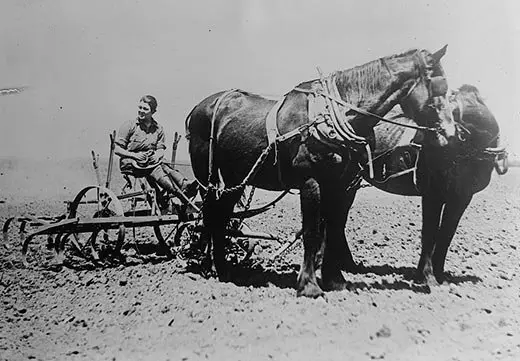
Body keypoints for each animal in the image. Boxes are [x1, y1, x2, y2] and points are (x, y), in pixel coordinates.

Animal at [187, 46, 456, 296]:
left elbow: (333, 229)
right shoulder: (311, 181)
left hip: (236, 177)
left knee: (221, 216)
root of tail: (199, 107)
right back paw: (210, 267)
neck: (333, 118)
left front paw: (335, 280)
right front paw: (309, 286)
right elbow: (313, 233)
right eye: (438, 88)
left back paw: (223, 270)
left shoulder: (342, 185)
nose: (450, 134)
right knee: (210, 215)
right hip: (206, 177)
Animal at [362, 84, 504, 284]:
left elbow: (446, 234)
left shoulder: (461, 198)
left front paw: (439, 273)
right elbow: (429, 233)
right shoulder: (432, 194)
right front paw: (424, 275)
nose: (418, 142)